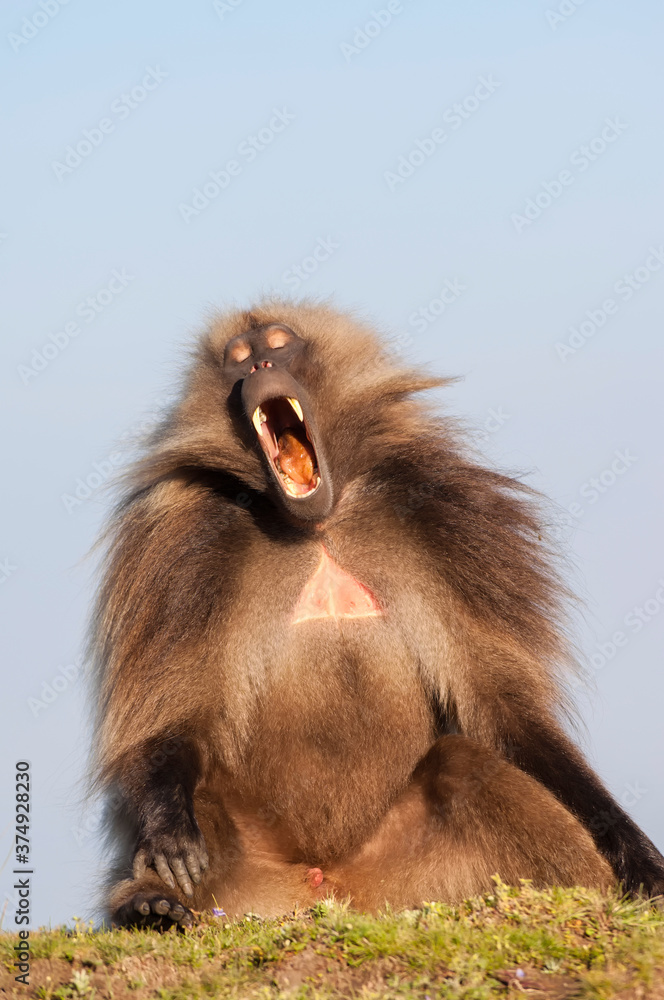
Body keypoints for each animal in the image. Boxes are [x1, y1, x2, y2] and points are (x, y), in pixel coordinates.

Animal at [89, 300, 664, 928]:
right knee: (204, 788)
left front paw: (636, 855)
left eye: (279, 344)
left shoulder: (452, 526)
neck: (319, 526)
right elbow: (175, 714)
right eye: (237, 358)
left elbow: (504, 709)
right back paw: (152, 903)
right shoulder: (181, 553)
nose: (261, 365)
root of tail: (337, 885)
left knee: (465, 763)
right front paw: (167, 828)